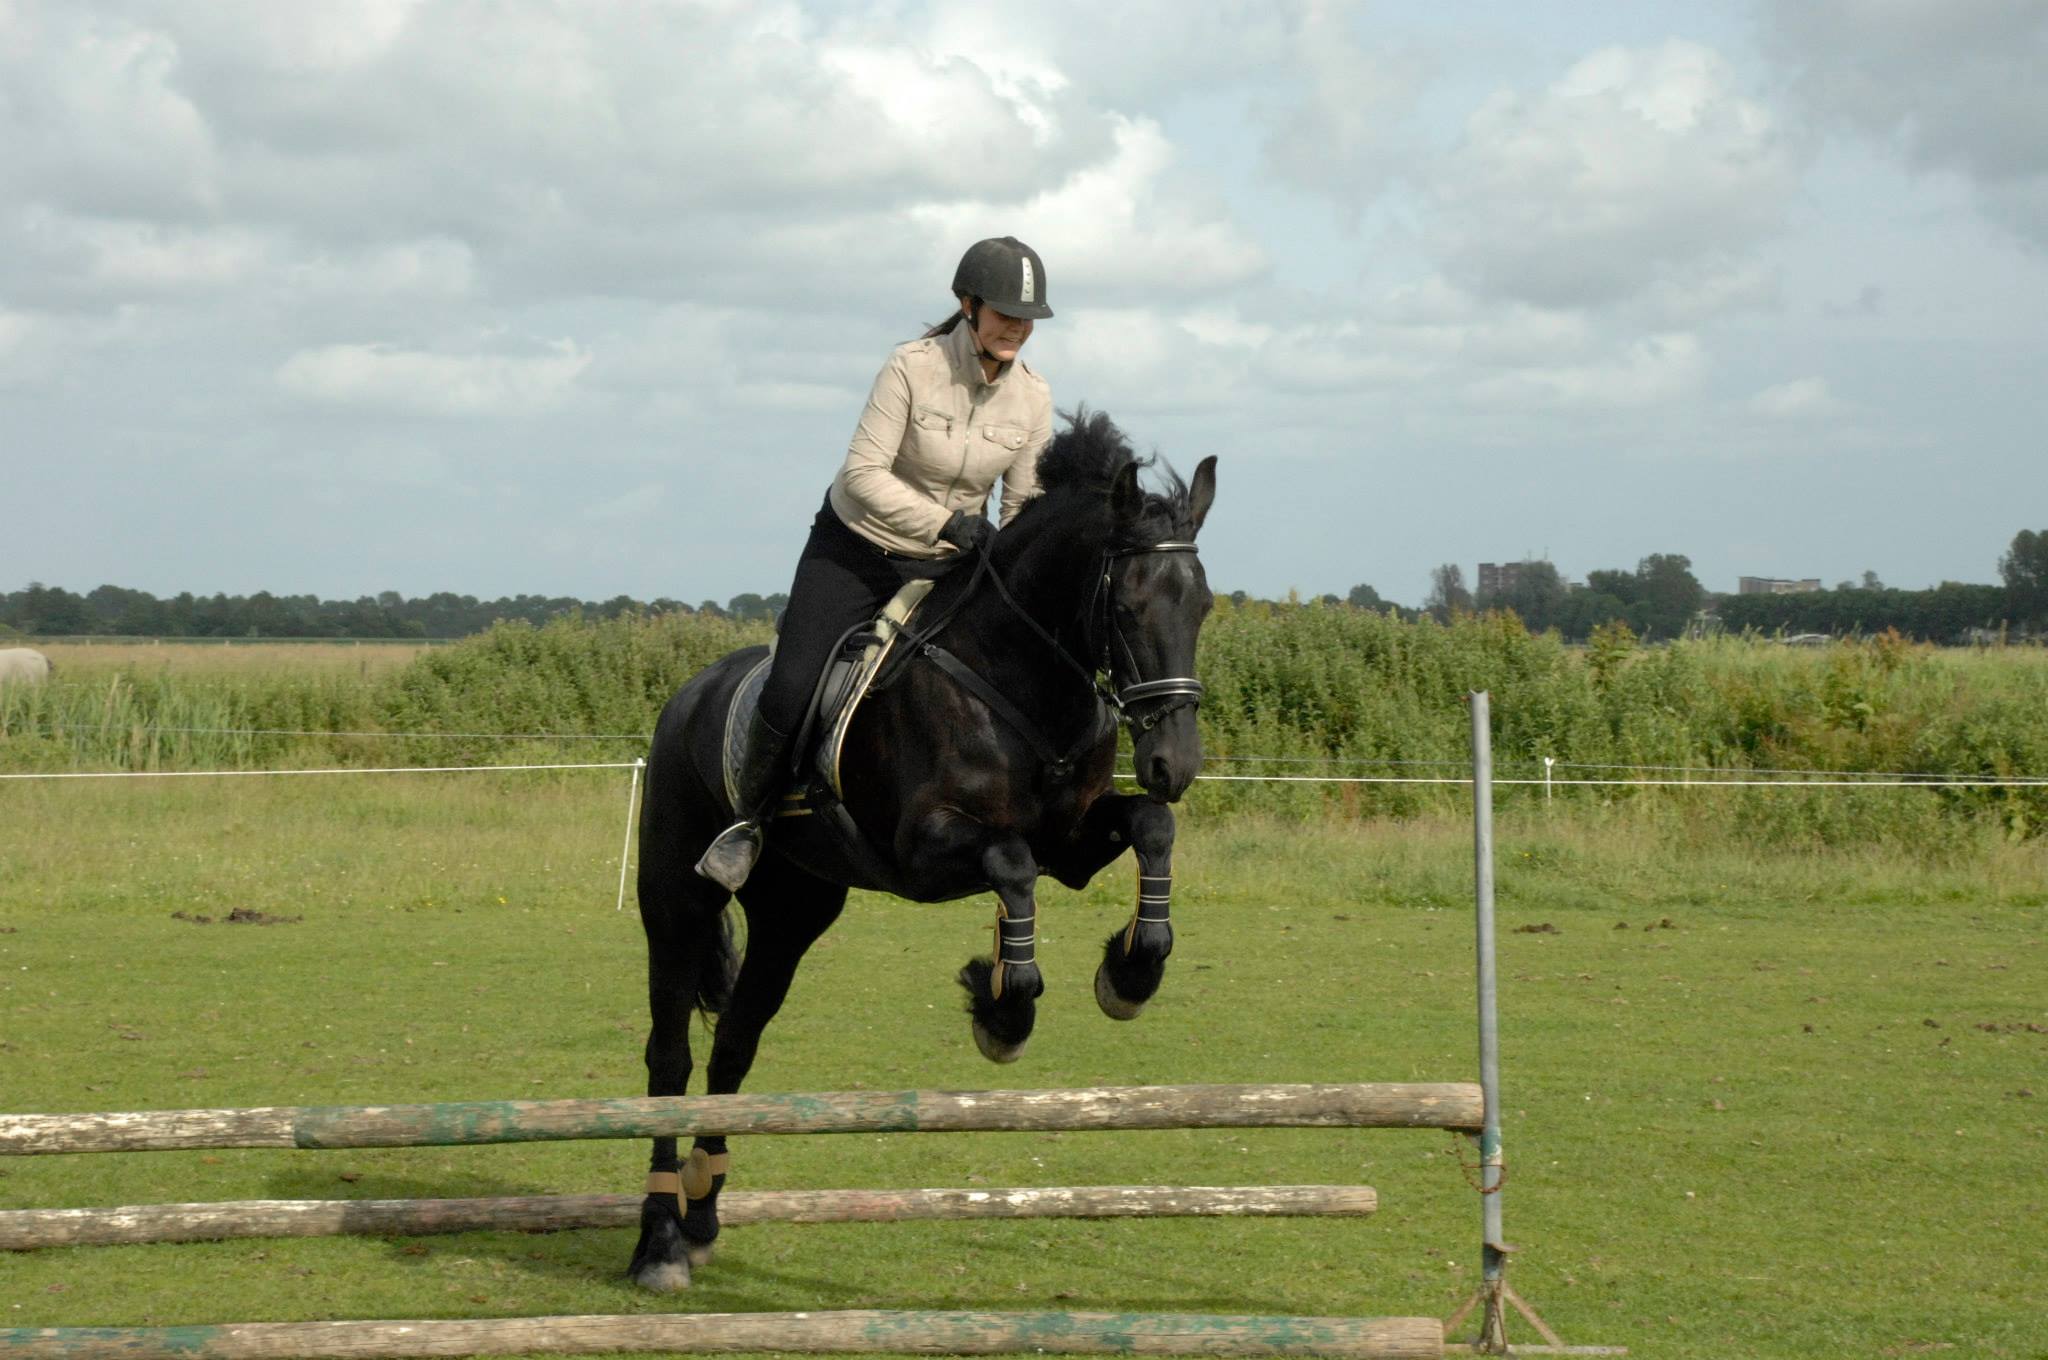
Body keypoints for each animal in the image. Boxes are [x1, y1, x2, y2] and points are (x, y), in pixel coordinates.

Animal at [626, 410, 1217, 1291]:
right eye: (1128, 603)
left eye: (1203, 605)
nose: (1173, 764)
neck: (1019, 672)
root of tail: (687, 697)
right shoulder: (926, 851)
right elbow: (1011, 867)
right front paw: (1005, 1007)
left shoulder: (1072, 845)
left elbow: (1150, 829)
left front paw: (1130, 973)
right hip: (678, 900)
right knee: (669, 1058)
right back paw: (660, 1241)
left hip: (792, 913)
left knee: (733, 1045)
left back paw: (701, 1215)